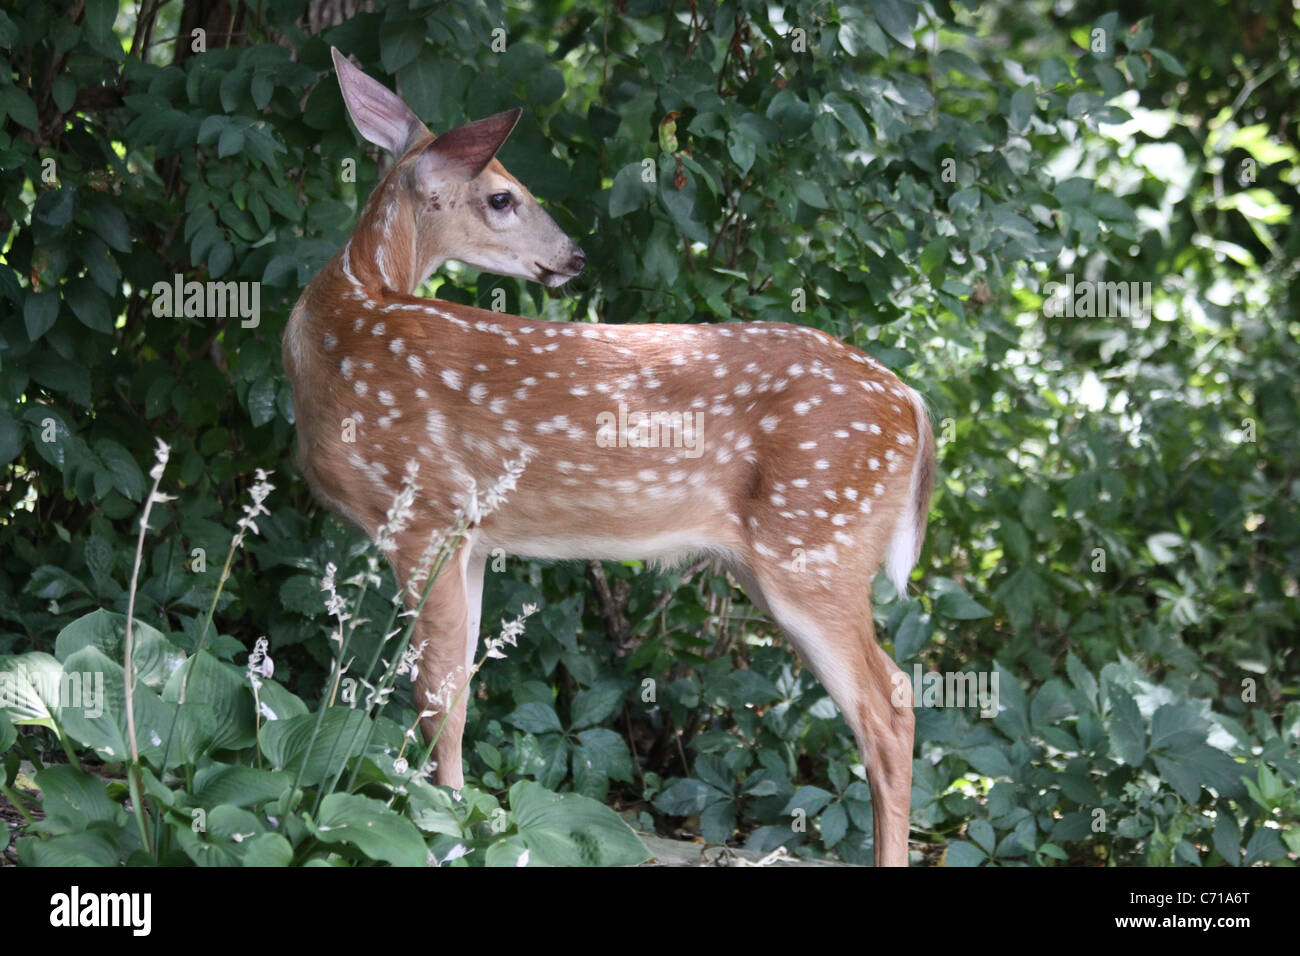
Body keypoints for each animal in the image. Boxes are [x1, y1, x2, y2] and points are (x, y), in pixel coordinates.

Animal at [282, 47, 935, 867]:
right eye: (502, 197)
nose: (574, 255)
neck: (343, 322)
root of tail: (911, 404)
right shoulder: (469, 536)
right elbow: (461, 687)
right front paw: (459, 818)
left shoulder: (425, 511)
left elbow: (436, 697)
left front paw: (443, 829)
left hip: (817, 541)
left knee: (892, 705)